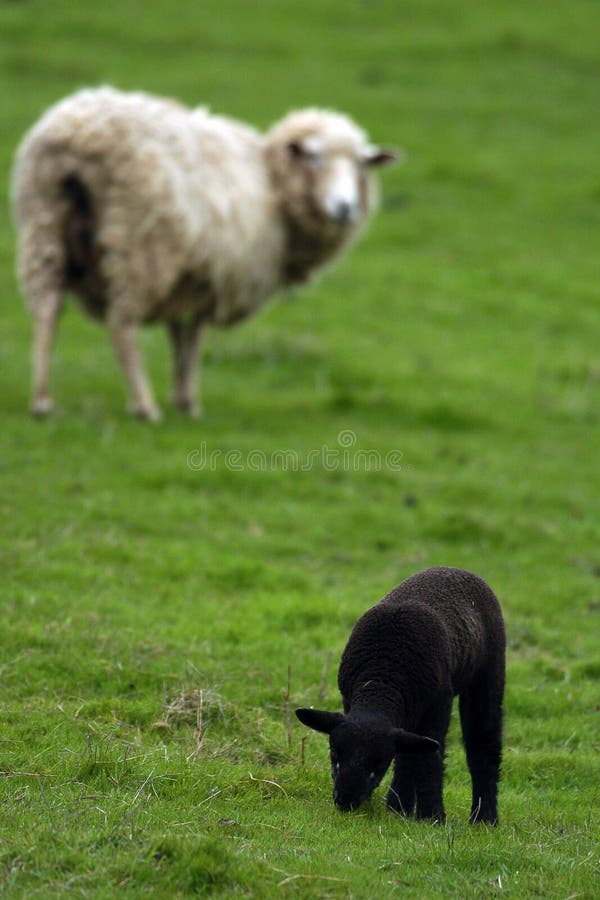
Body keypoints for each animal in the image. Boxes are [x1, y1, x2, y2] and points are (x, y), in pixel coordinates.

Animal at [11, 87, 397, 421]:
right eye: (314, 157)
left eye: (361, 165)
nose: (345, 208)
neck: (271, 180)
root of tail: (78, 135)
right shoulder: (216, 277)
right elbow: (194, 336)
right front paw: (188, 401)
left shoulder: (189, 275)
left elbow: (177, 334)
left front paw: (180, 394)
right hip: (139, 248)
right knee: (121, 324)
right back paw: (143, 406)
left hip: (42, 225)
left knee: (47, 311)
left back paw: (42, 401)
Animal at [296, 566, 505, 825]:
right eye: (334, 753)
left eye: (378, 764)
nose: (345, 801)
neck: (382, 680)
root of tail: (458, 569)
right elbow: (409, 753)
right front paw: (401, 810)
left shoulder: (438, 704)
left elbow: (429, 759)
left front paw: (431, 816)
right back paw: (399, 807)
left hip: (488, 670)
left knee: (483, 741)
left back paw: (484, 818)